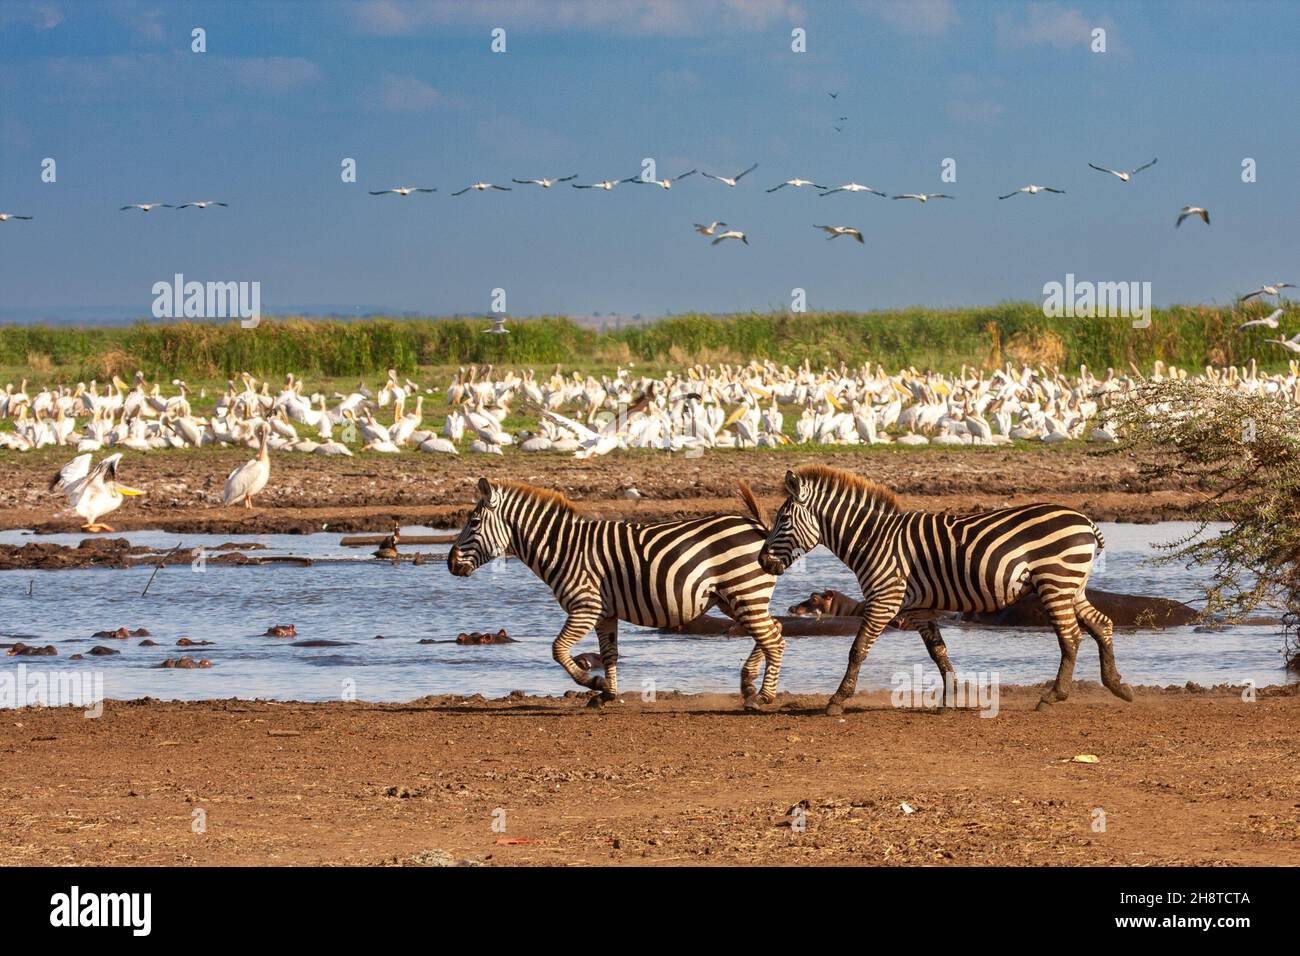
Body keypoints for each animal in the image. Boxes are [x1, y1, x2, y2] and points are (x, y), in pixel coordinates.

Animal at [447, 477, 786, 707]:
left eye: (473, 522)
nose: (450, 563)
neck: (563, 549)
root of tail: (756, 525)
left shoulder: (586, 607)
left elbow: (557, 649)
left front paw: (593, 682)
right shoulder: (604, 613)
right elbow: (609, 653)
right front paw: (607, 694)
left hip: (744, 592)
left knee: (773, 639)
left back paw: (763, 696)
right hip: (736, 598)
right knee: (772, 631)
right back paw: (748, 684)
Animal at [757, 465, 1132, 715]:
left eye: (783, 520)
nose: (762, 561)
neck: (874, 540)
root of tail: (1085, 520)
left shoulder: (885, 598)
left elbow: (857, 649)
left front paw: (837, 700)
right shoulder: (918, 608)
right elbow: (939, 652)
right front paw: (951, 700)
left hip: (1056, 583)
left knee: (1071, 636)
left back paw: (1053, 696)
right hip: (1072, 586)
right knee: (1102, 624)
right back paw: (1118, 686)